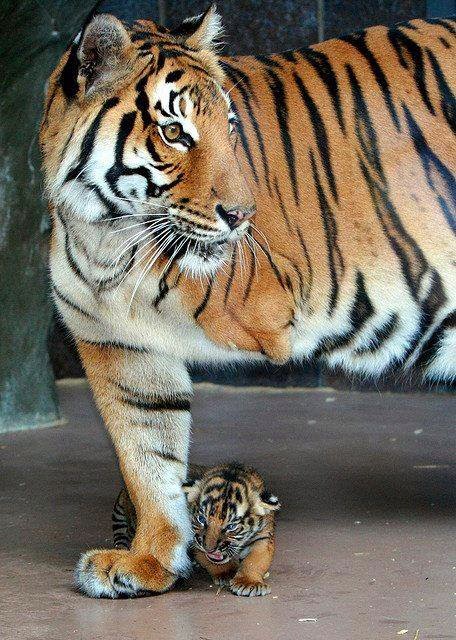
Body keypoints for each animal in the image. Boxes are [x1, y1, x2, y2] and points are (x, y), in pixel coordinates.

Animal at [112, 463, 280, 596]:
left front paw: (249, 583)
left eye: (231, 527)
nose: (210, 548)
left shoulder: (264, 537)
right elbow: (210, 560)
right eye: (202, 520)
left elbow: (255, 561)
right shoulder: (192, 538)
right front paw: (228, 573)